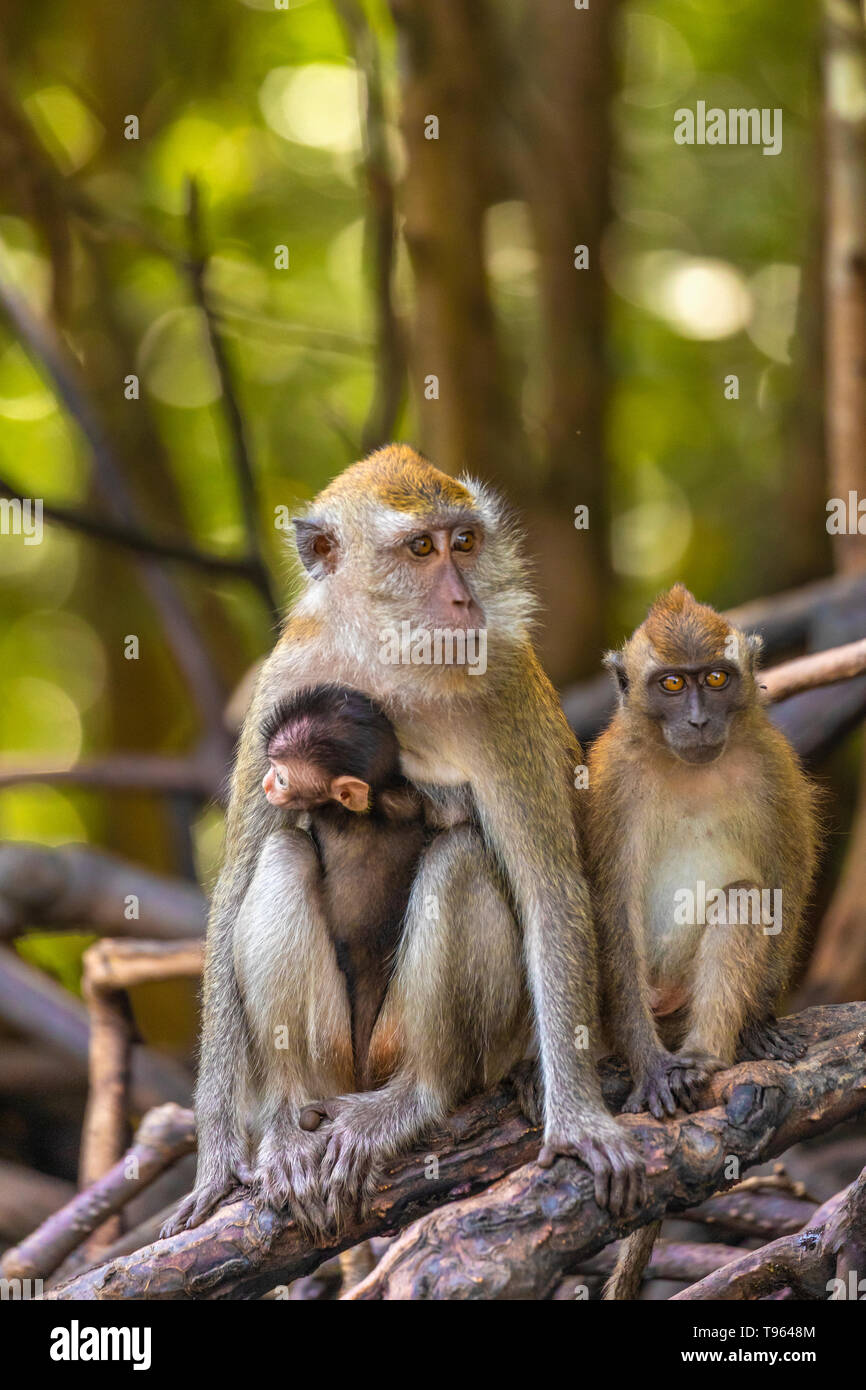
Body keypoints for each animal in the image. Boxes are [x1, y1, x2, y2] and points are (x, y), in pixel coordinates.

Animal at [585, 585, 819, 1299]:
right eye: (671, 684)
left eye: (715, 679)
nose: (696, 721)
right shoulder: (610, 778)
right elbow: (609, 910)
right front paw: (649, 1068)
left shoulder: (775, 765)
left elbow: (785, 880)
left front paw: (762, 1021)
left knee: (743, 899)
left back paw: (705, 1056)